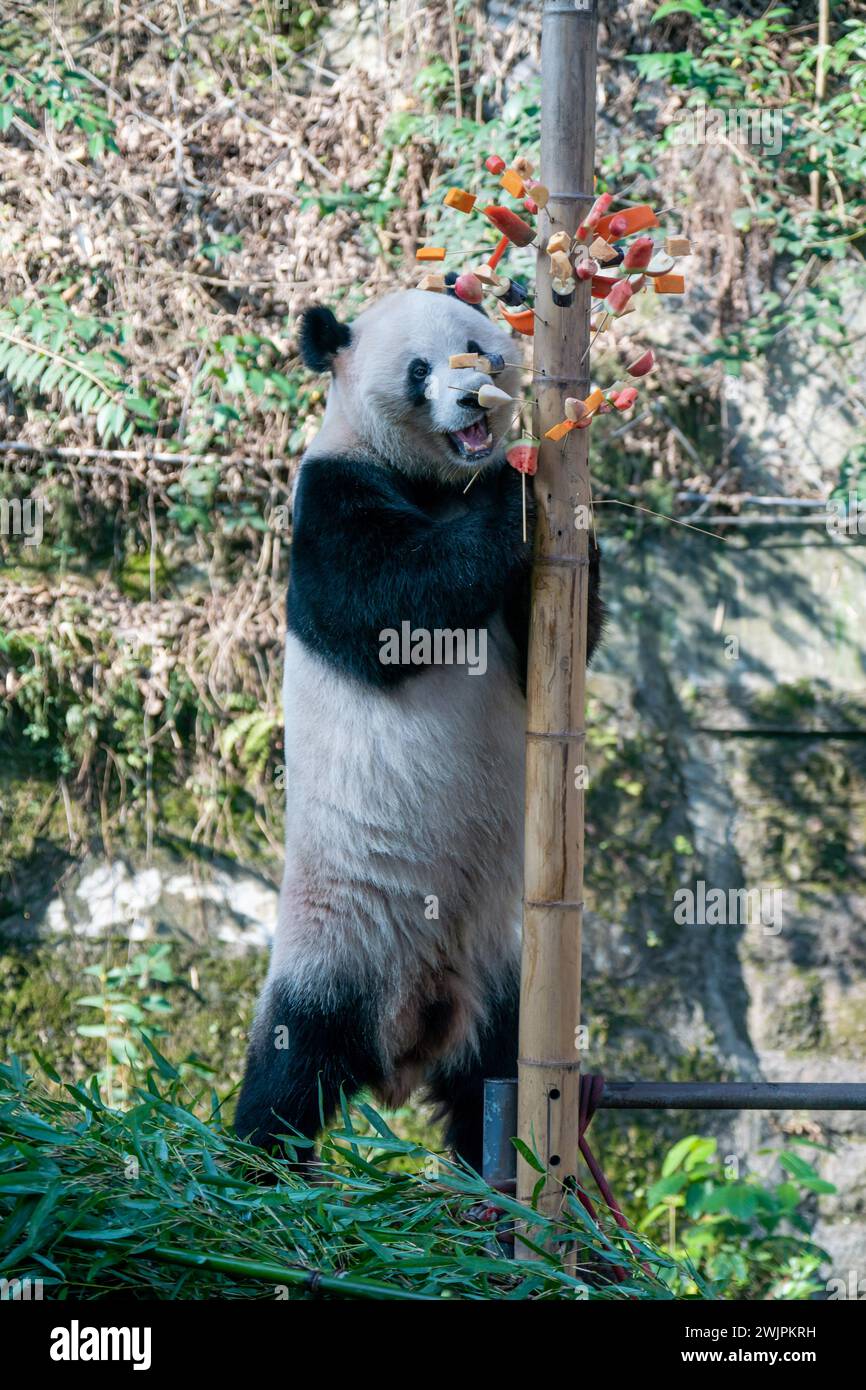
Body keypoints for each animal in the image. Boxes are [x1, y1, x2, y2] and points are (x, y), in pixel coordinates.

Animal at [234, 284, 602, 1169]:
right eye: (419, 370)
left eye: (482, 348)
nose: (474, 401)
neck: (437, 480)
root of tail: (406, 1035)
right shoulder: (329, 496)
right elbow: (387, 605)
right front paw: (512, 487)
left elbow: (553, 650)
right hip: (336, 942)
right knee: (288, 1071)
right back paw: (246, 1177)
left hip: (503, 973)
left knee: (496, 1090)